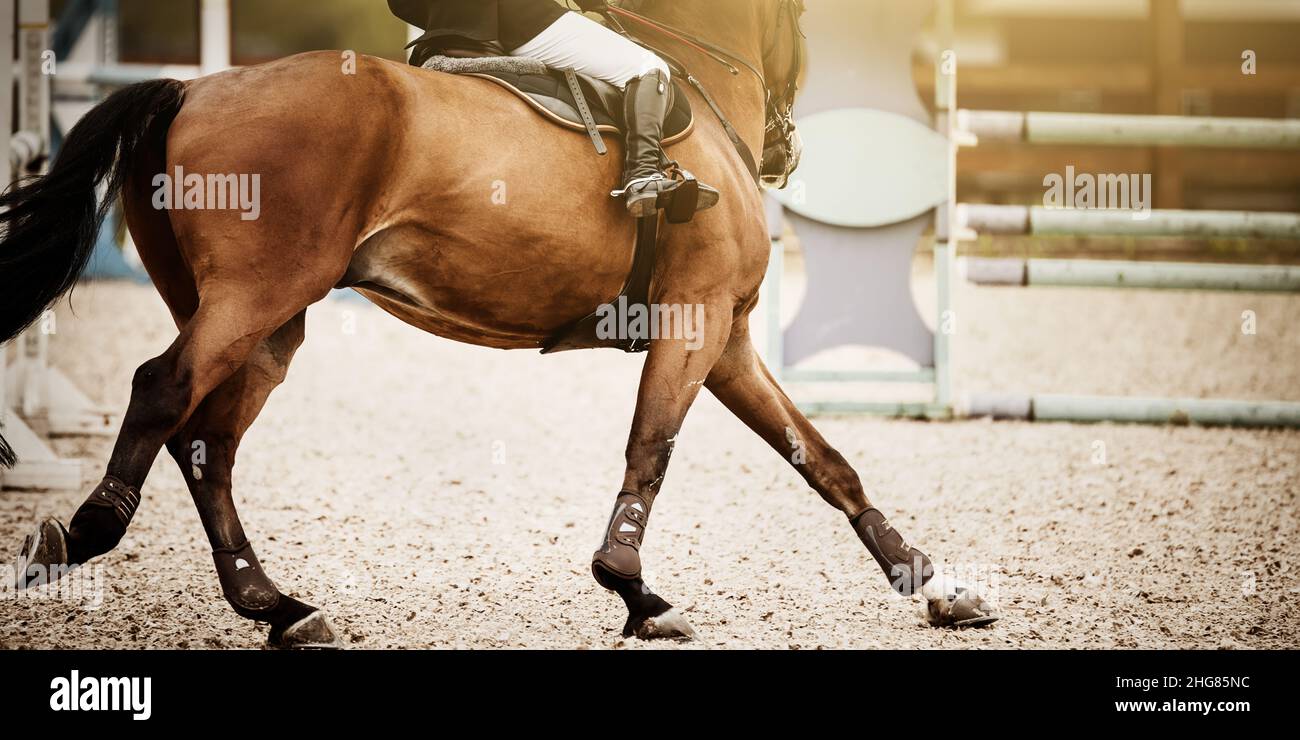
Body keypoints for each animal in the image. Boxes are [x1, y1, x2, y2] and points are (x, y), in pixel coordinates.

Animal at [1, 0, 996, 647]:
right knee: (161, 391)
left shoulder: (728, 343)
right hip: (254, 298)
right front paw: (634, 590)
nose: (788, 153)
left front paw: (933, 583)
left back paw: (274, 605)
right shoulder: (697, 322)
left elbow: (824, 461)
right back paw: (86, 534)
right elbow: (652, 447)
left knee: (206, 442)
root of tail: (194, 89)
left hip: (267, 326)